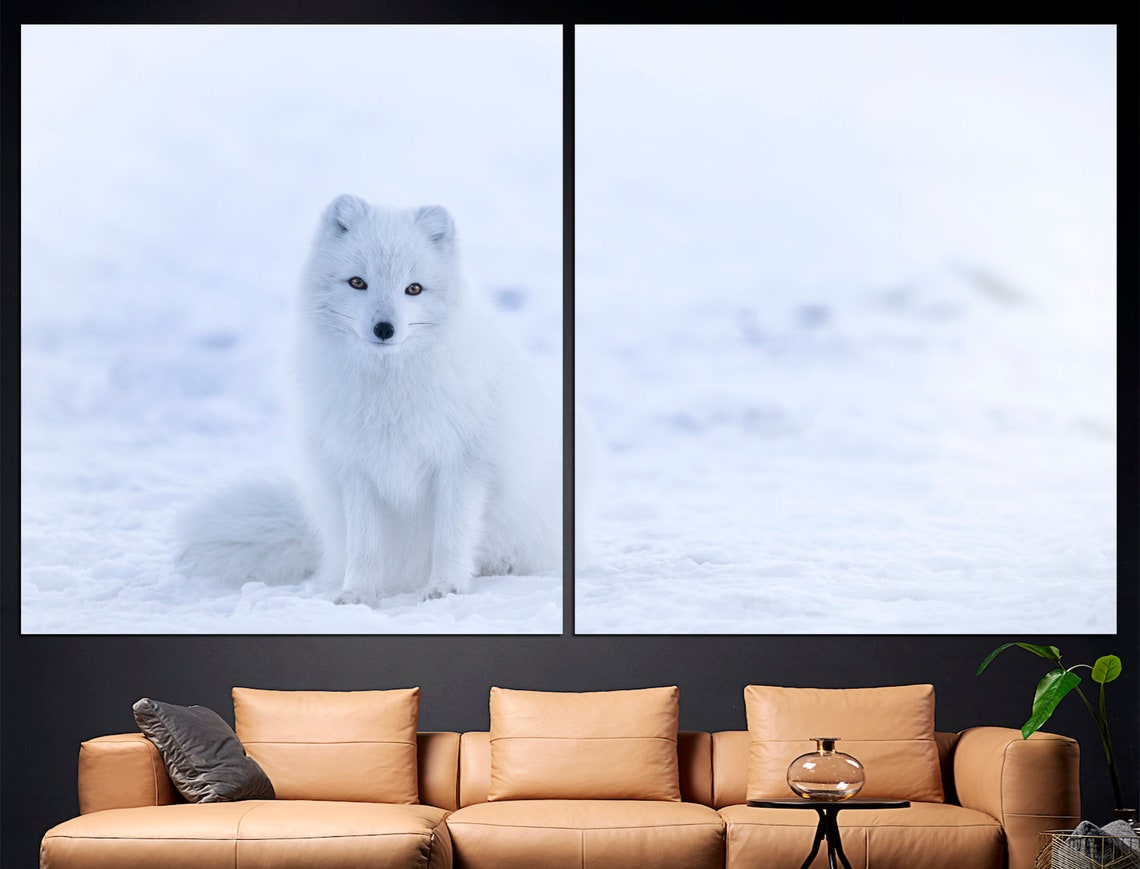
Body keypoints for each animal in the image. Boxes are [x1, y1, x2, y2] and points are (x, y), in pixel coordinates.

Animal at [176, 195, 563, 604]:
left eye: (414, 289)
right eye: (358, 282)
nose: (384, 328)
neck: (388, 391)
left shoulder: (462, 467)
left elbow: (451, 538)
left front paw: (445, 587)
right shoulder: (357, 471)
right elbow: (364, 546)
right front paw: (357, 594)